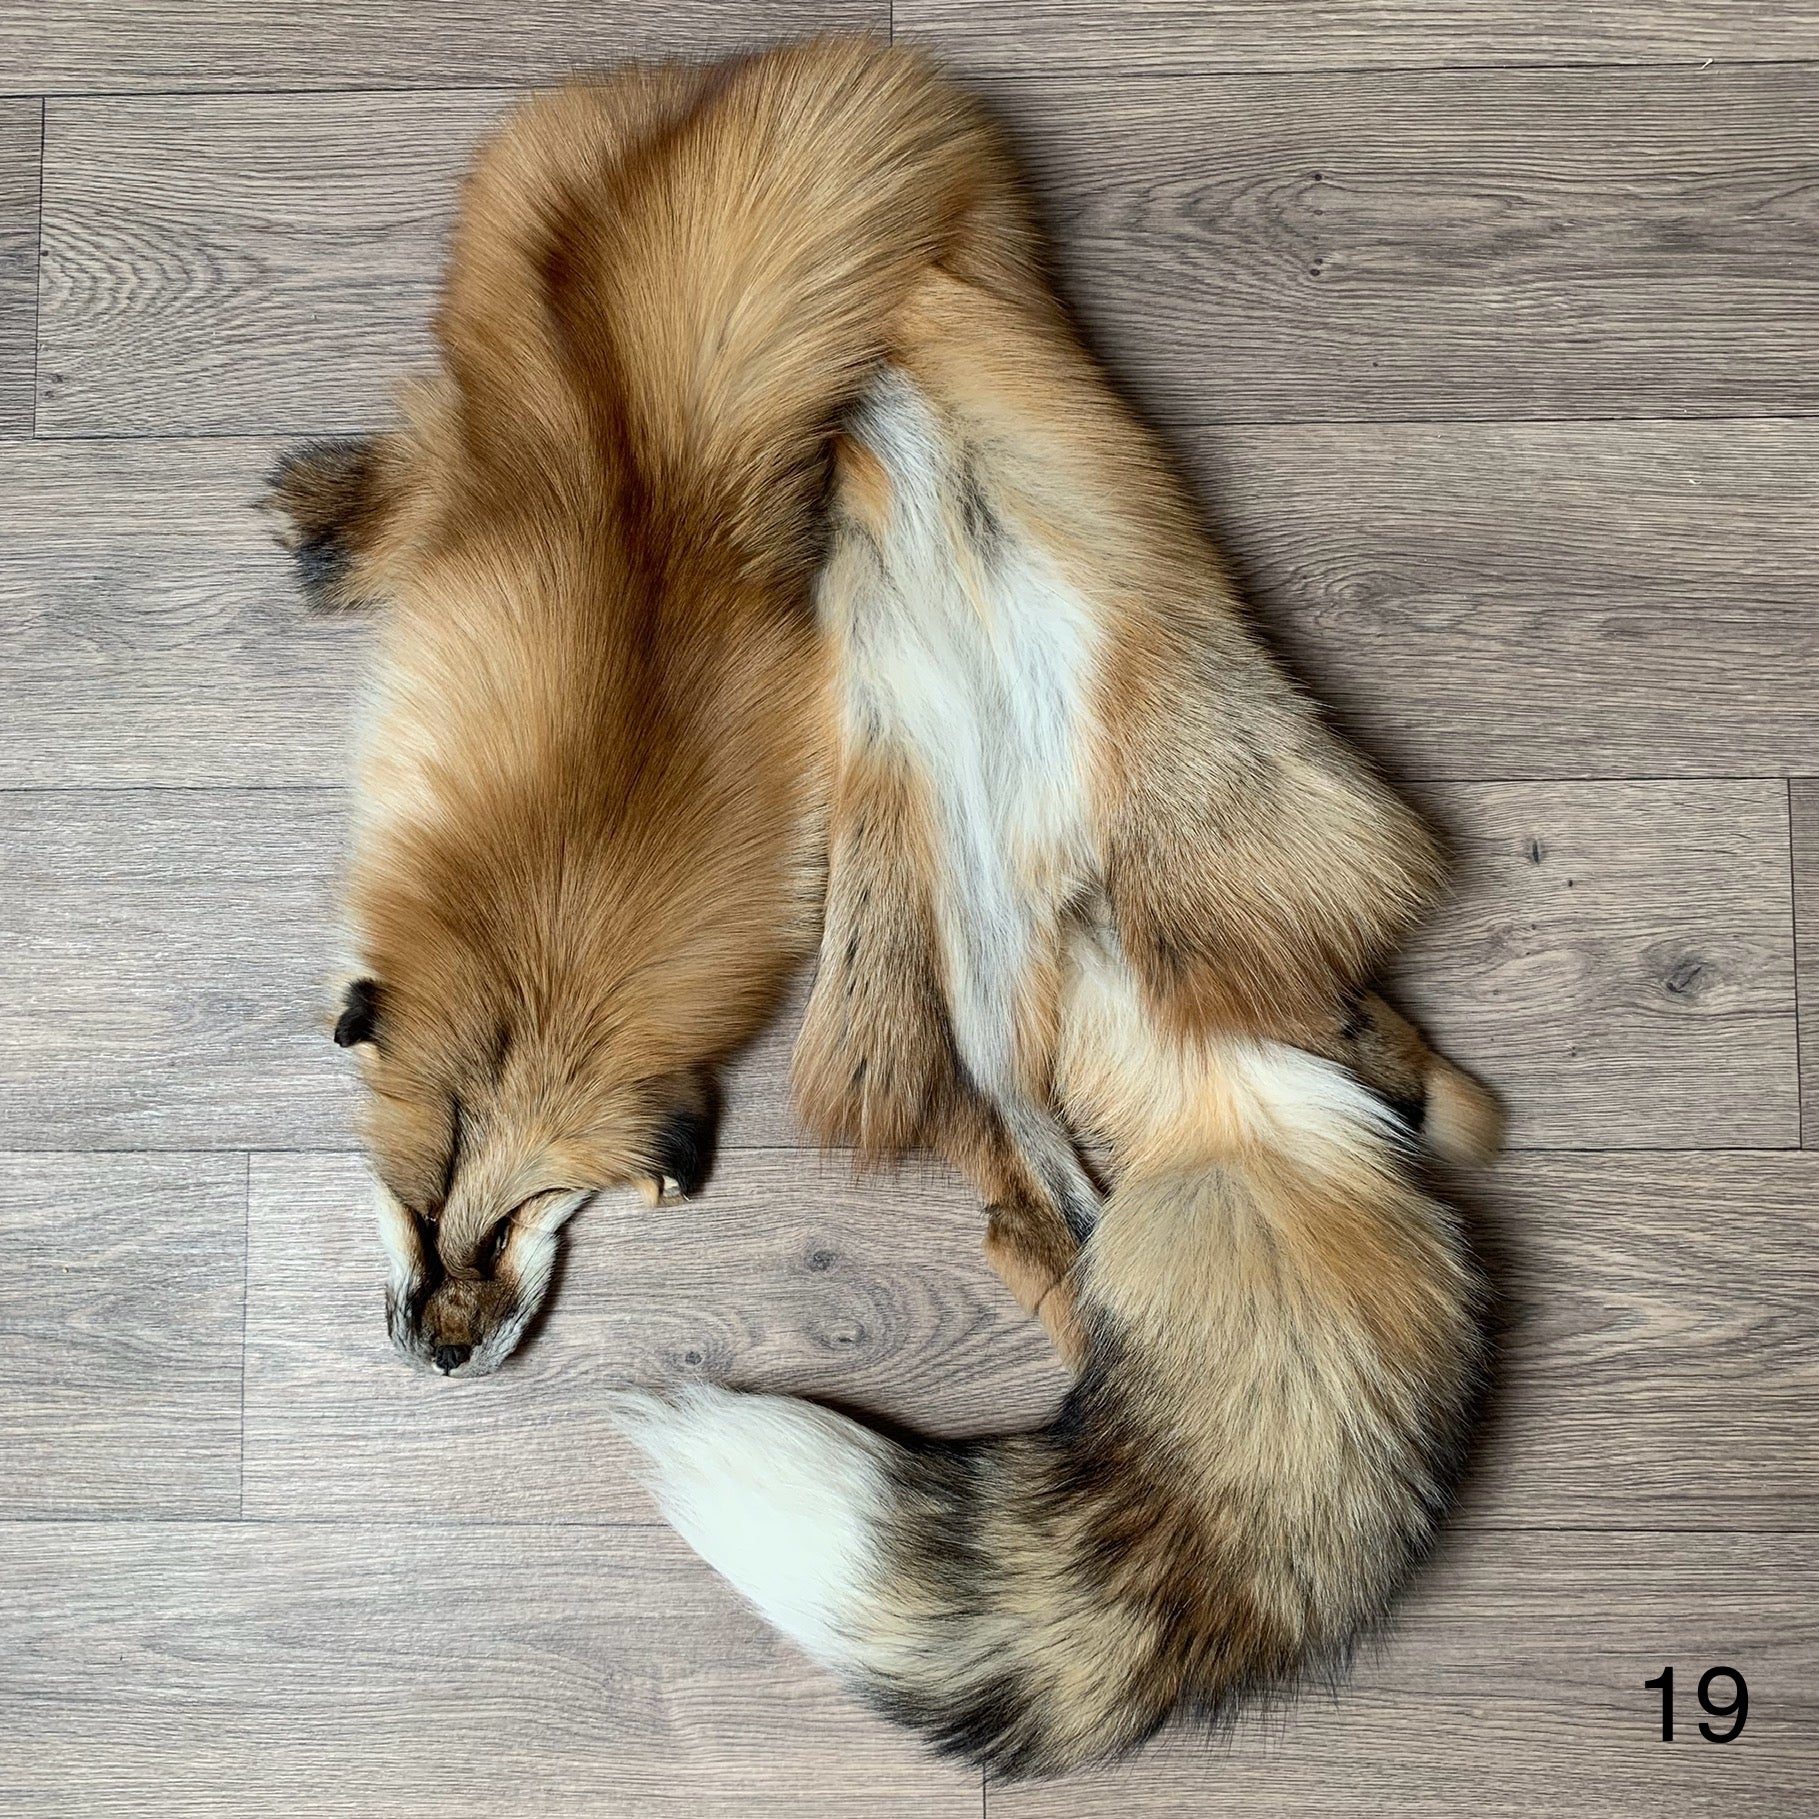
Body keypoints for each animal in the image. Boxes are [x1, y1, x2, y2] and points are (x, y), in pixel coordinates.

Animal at [264, 40, 1046, 1375]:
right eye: (417, 1209)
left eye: (516, 1218)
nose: (444, 1357)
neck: (546, 924)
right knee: (433, 436)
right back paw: (344, 518)